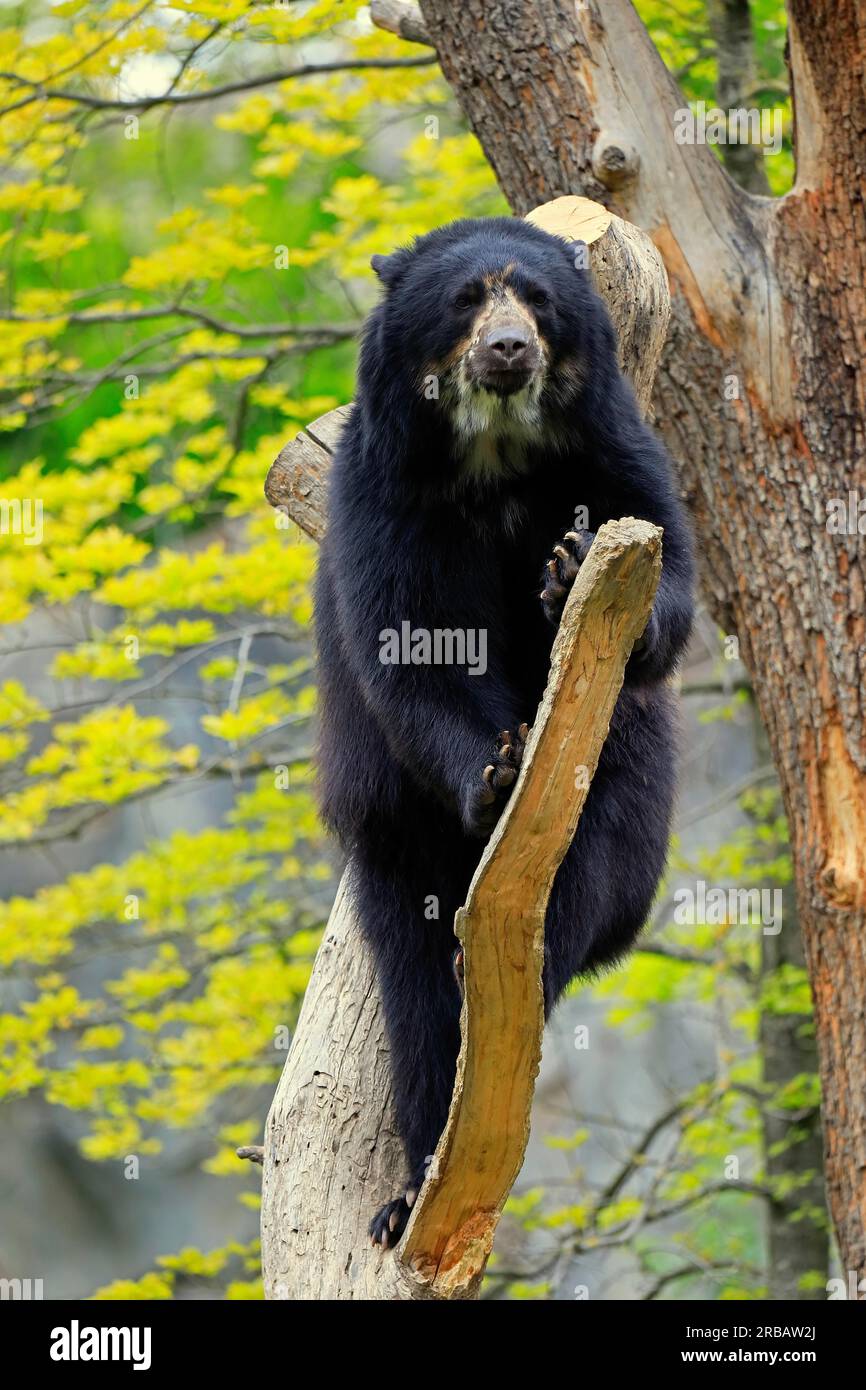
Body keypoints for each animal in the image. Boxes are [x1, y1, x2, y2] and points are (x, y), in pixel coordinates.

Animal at [313, 216, 695, 1248]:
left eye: (536, 298)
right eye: (465, 300)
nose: (510, 348)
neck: (493, 455)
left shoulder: (614, 450)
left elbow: (665, 565)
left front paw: (568, 568)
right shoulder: (382, 491)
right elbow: (407, 644)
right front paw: (497, 769)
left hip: (626, 799)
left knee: (575, 895)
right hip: (396, 844)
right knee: (416, 1008)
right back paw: (409, 1194)